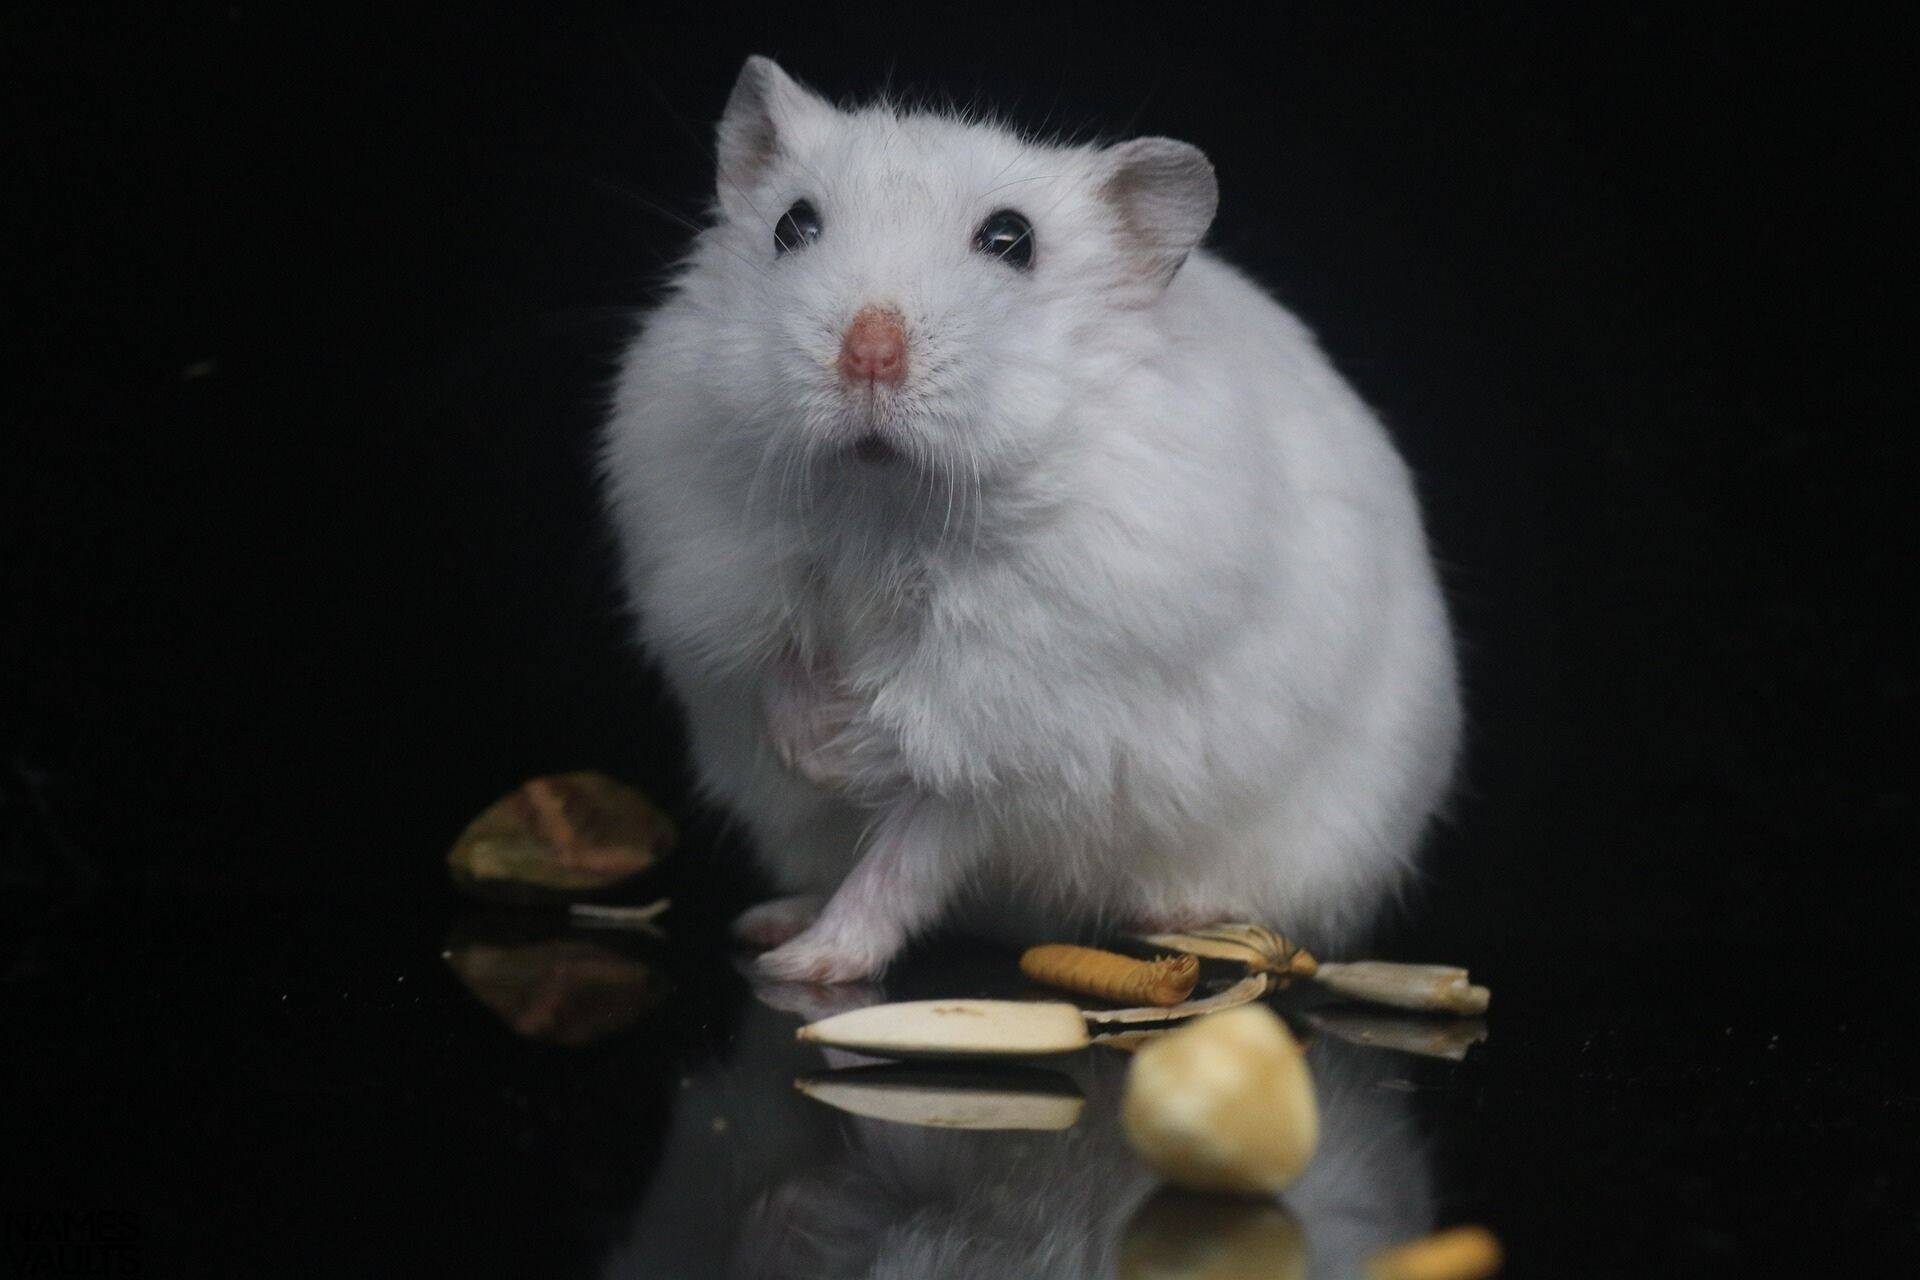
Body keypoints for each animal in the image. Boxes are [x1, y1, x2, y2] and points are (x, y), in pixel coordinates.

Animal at [601, 57, 1462, 983]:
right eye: (793, 224)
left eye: (1011, 240)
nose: (868, 353)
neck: (885, 501)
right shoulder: (714, 561)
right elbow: (773, 655)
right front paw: (819, 753)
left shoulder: (1011, 720)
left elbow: (916, 815)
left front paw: (847, 767)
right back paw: (773, 921)